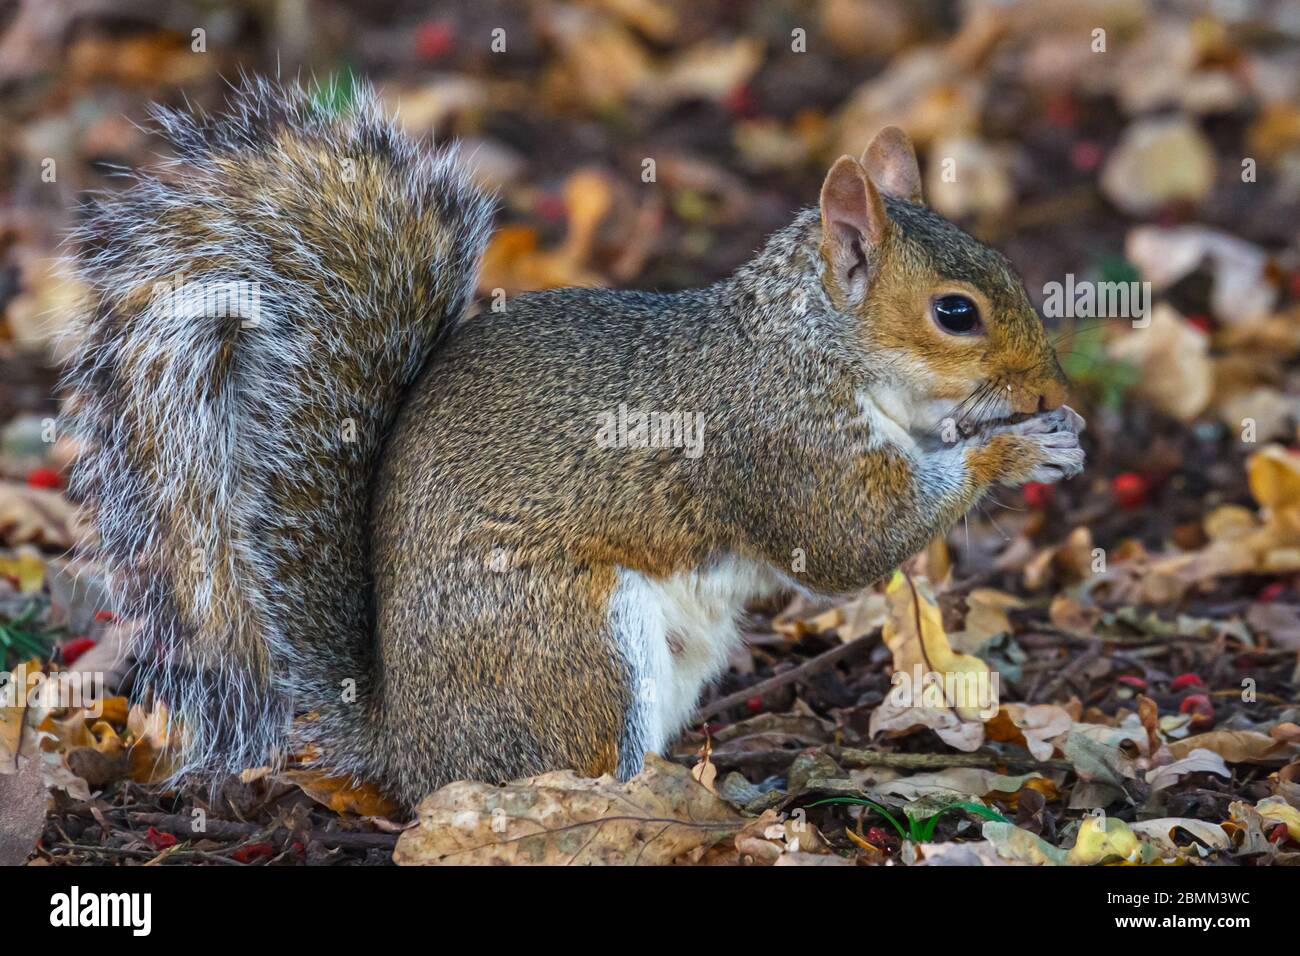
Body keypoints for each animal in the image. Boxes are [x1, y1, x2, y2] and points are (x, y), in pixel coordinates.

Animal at [61, 79, 1084, 808]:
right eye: (956, 313)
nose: (1054, 391)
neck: (808, 341)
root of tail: (408, 747)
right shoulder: (780, 440)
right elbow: (848, 544)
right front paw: (1018, 448)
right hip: (574, 645)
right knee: (562, 769)